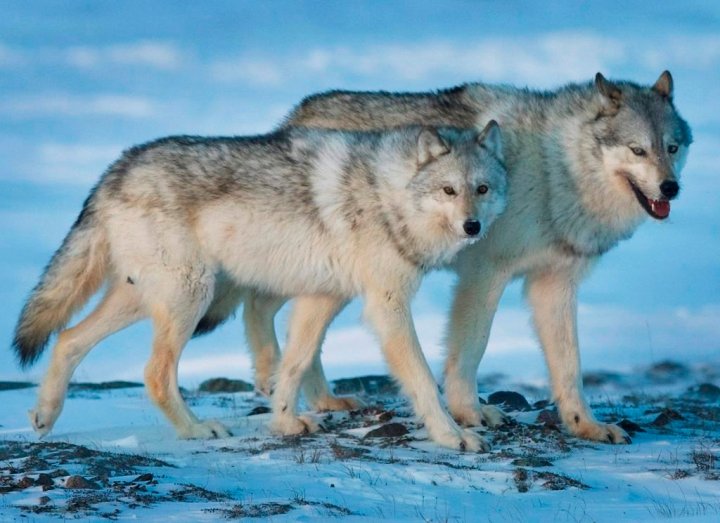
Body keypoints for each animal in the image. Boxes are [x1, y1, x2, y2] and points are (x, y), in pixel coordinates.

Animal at [13, 123, 508, 450]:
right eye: (448, 190)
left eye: (482, 188)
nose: (473, 226)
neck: (388, 196)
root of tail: (115, 169)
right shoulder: (387, 306)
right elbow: (423, 379)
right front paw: (452, 435)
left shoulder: (321, 299)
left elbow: (293, 364)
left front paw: (285, 423)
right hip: (190, 296)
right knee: (153, 373)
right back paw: (195, 430)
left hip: (148, 297)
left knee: (67, 339)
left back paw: (44, 417)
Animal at [230, 71, 691, 444]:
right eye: (637, 150)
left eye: (671, 147)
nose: (670, 188)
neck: (554, 169)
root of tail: (295, 115)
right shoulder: (485, 273)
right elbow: (472, 346)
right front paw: (468, 412)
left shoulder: (555, 284)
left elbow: (569, 365)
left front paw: (585, 425)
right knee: (258, 303)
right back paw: (272, 378)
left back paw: (321, 398)